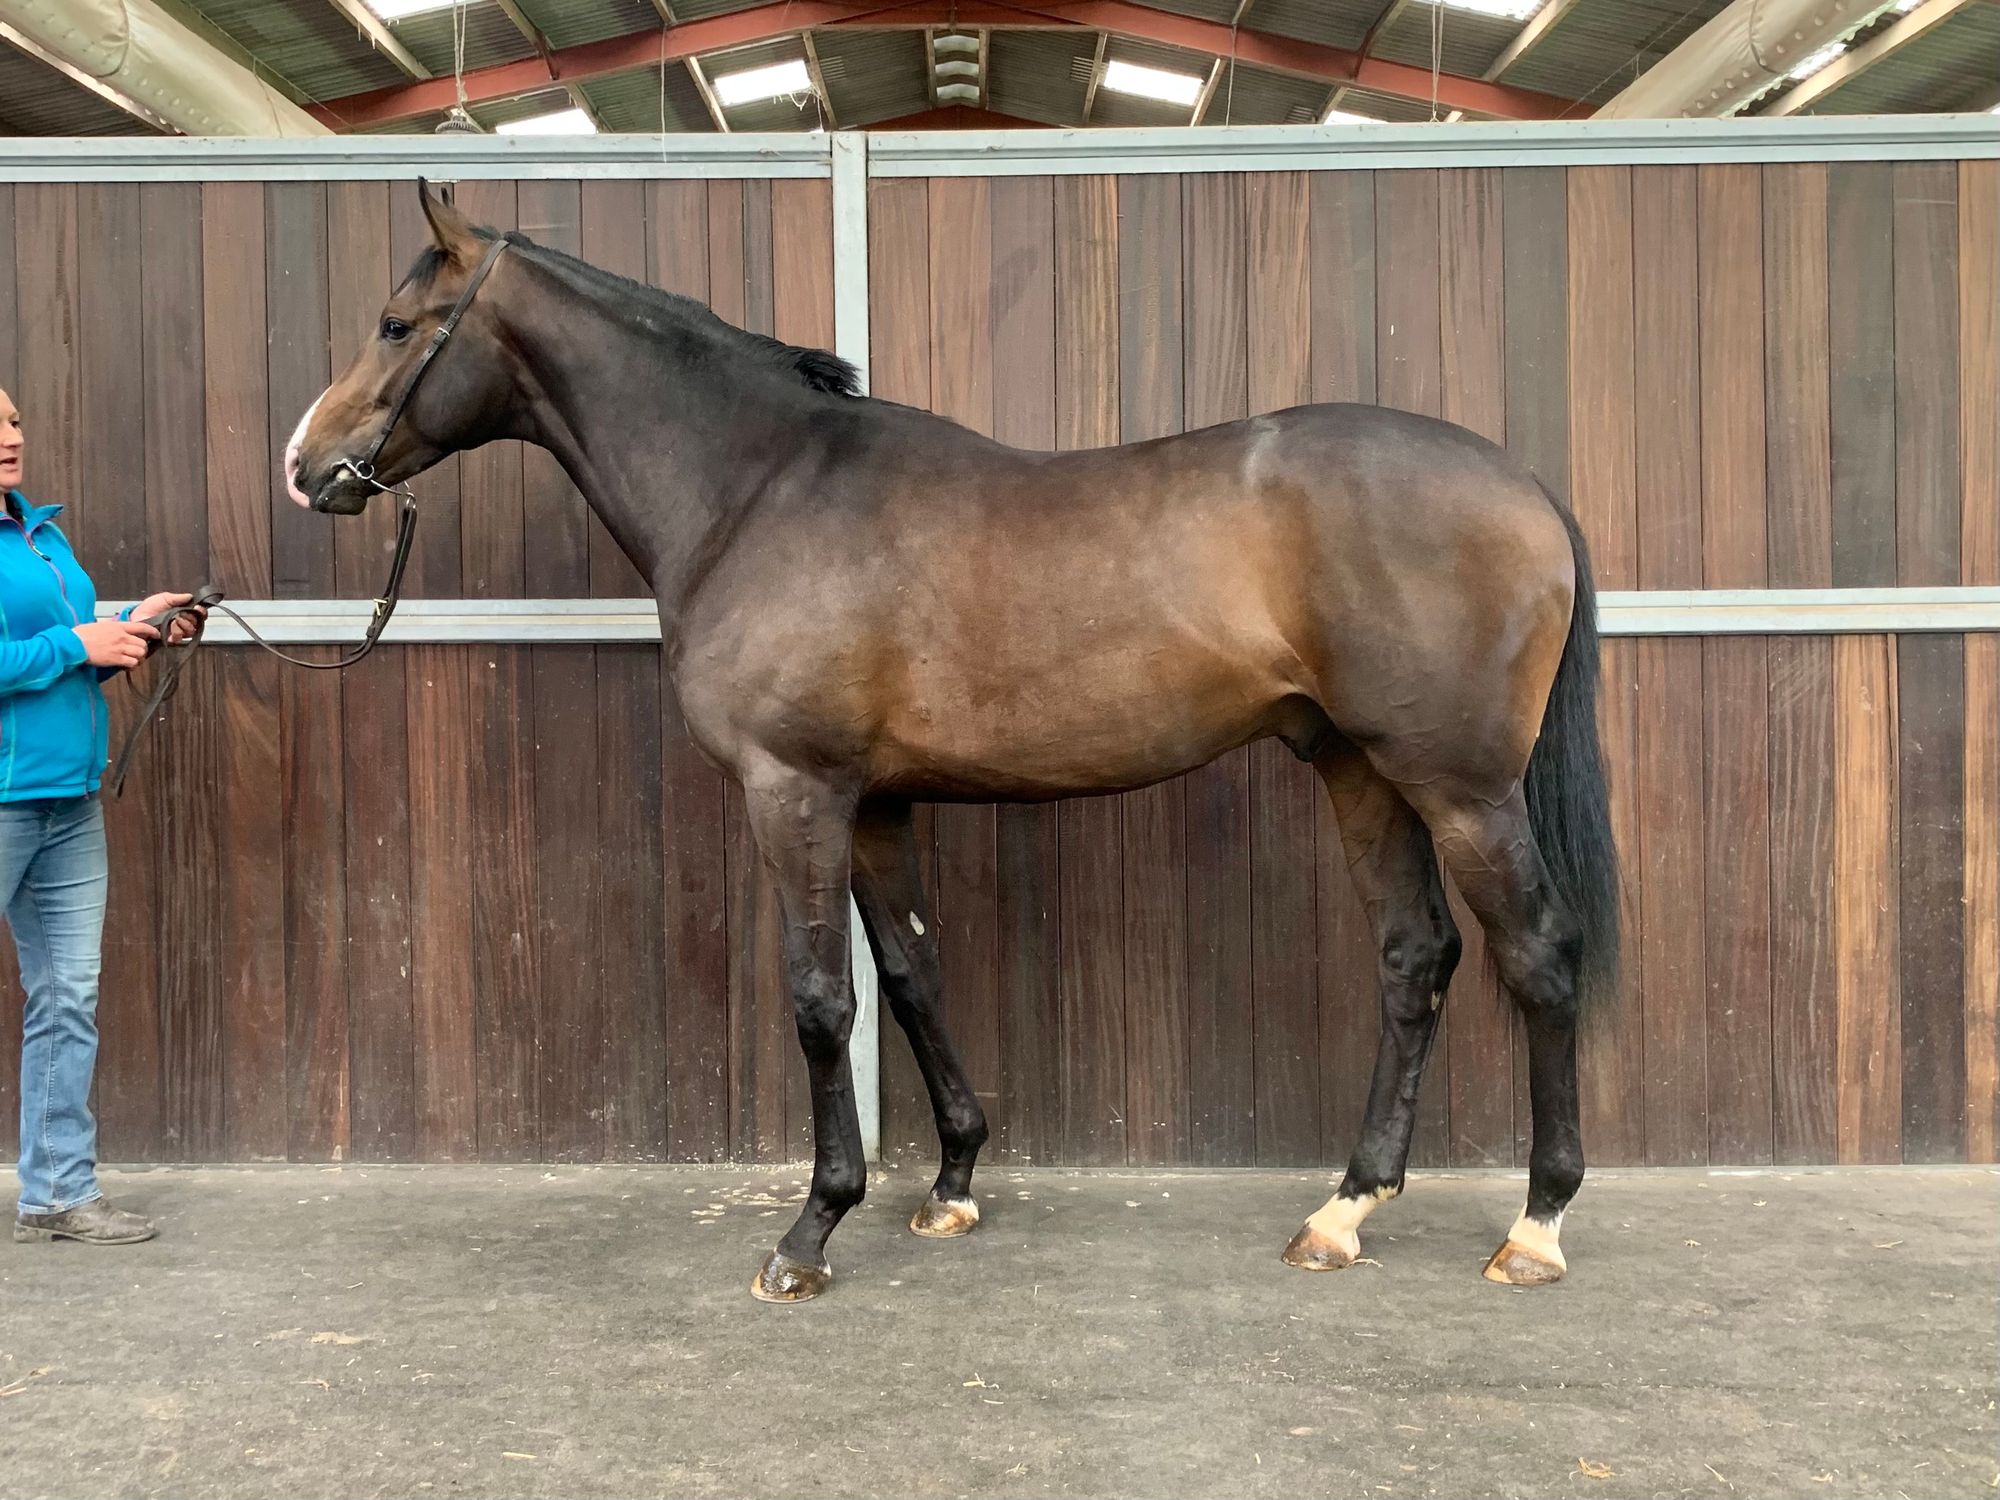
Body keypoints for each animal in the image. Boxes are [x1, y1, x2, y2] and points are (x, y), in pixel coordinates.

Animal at [285, 179, 1620, 1304]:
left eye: (399, 325)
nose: (307, 468)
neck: (758, 490)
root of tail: (1524, 488)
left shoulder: (796, 793)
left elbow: (821, 998)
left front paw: (811, 1229)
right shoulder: (876, 803)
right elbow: (912, 974)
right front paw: (953, 1183)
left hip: (1459, 785)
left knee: (1538, 956)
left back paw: (1534, 1226)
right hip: (1358, 770)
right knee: (1413, 958)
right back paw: (1343, 1211)